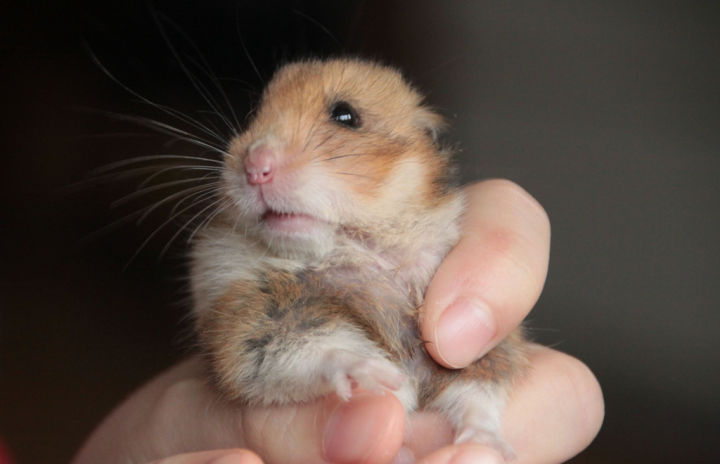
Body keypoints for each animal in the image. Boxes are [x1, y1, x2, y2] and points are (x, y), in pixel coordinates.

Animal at [190, 58, 527, 459]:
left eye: (346, 115)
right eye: (254, 114)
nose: (255, 168)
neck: (356, 248)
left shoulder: (484, 349)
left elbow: (477, 393)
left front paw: (490, 447)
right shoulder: (255, 322)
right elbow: (317, 351)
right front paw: (386, 380)